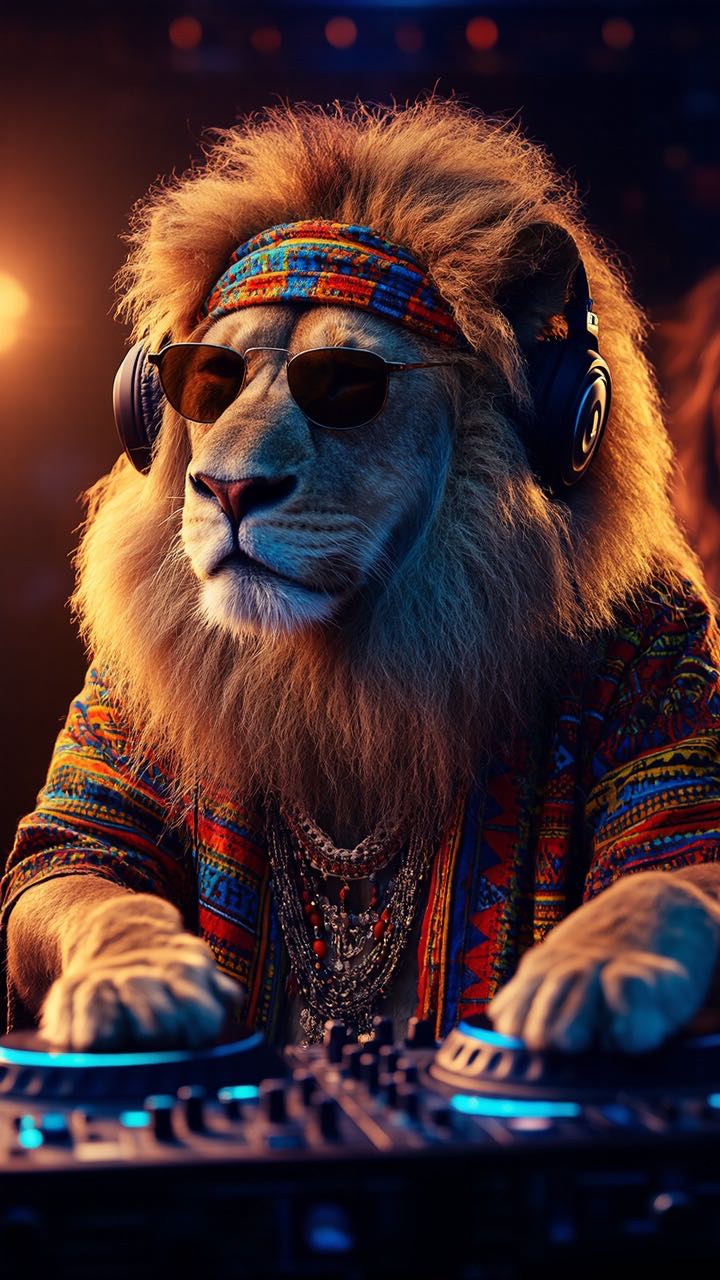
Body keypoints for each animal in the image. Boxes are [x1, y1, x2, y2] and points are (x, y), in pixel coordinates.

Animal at [4, 99, 720, 1054]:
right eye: (207, 379)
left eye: (346, 386)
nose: (229, 488)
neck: (343, 657)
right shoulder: (102, 780)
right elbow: (82, 866)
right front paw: (135, 975)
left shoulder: (668, 665)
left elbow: (666, 870)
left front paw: (601, 963)